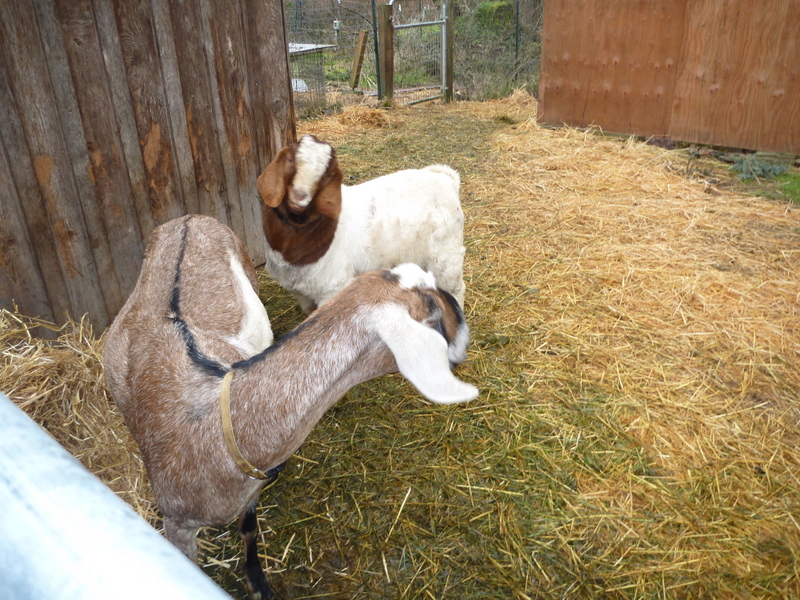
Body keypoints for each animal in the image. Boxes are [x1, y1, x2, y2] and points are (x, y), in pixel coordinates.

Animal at [102, 214, 478, 599]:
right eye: (434, 317)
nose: (464, 337)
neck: (219, 424)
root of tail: (187, 218)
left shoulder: (251, 490)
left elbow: (249, 529)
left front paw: (259, 583)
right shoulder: (176, 524)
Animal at [257, 134, 467, 315]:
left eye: (327, 174)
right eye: (291, 160)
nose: (299, 197)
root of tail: (445, 178)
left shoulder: (332, 288)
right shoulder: (301, 293)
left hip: (446, 254)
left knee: (456, 287)